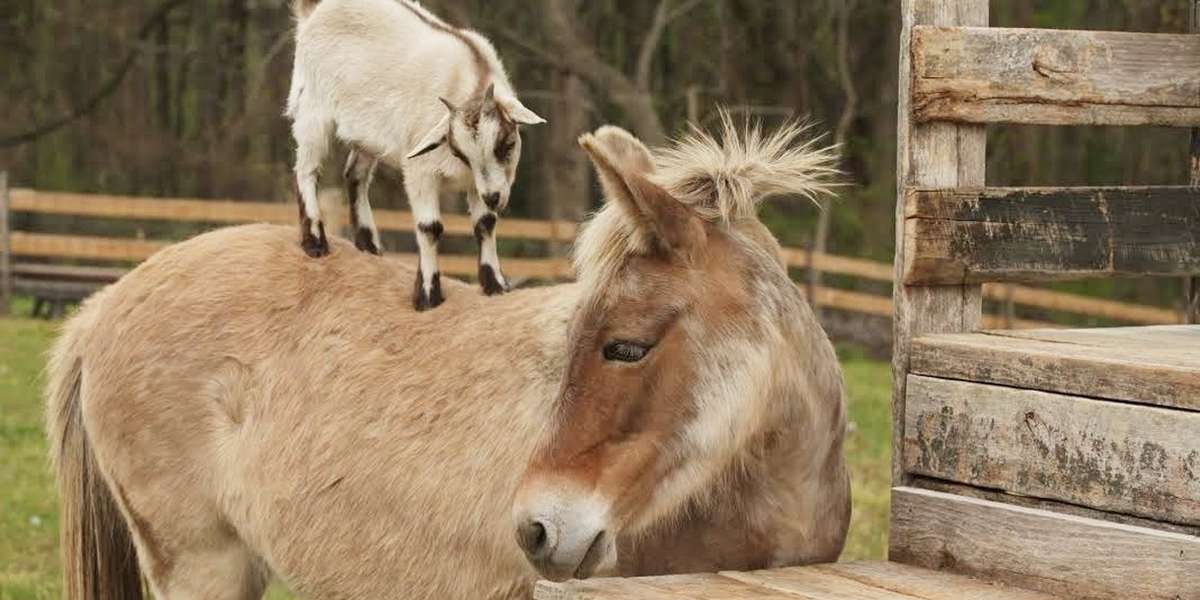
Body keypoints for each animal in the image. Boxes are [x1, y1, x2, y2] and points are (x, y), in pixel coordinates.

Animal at [287, 0, 545, 310]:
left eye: (507, 143)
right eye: (460, 152)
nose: (495, 198)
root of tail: (314, 10)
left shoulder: (477, 182)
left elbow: (485, 223)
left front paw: (495, 284)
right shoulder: (421, 170)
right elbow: (429, 227)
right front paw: (428, 295)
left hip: (367, 134)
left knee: (354, 174)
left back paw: (369, 245)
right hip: (314, 107)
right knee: (306, 169)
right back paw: (315, 241)